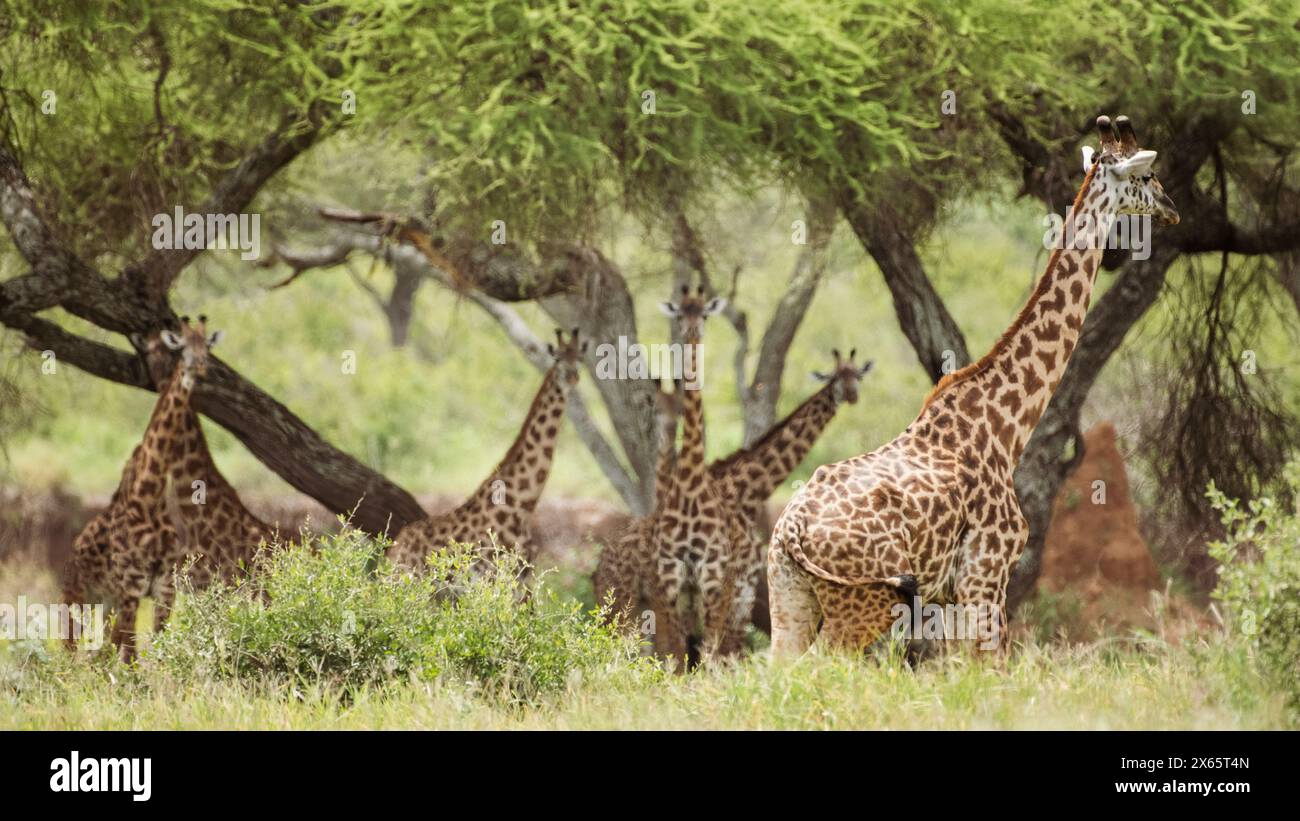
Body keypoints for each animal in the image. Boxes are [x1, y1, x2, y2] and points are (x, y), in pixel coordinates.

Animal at [64, 316, 276, 661]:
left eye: (207, 348)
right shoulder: (158, 587)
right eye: (153, 348)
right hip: (80, 596)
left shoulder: (181, 586)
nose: (198, 369)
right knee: (76, 649)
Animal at [387, 328, 586, 575]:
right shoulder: (496, 575)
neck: (523, 506)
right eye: (557, 358)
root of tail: (393, 551)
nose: (572, 377)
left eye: (580, 358)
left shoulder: (524, 578)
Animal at [648, 284, 756, 669]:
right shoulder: (671, 577)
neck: (689, 486)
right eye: (680, 313)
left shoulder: (712, 577)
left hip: (733, 594)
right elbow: (677, 656)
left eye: (705, 313)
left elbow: (705, 655)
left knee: (724, 649)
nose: (693, 333)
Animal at [768, 115, 1178, 660]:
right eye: (1147, 176)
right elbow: (991, 665)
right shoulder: (987, 574)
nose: (1173, 209)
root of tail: (791, 528)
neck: (1006, 425)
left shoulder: (954, 591)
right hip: (862, 603)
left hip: (788, 596)